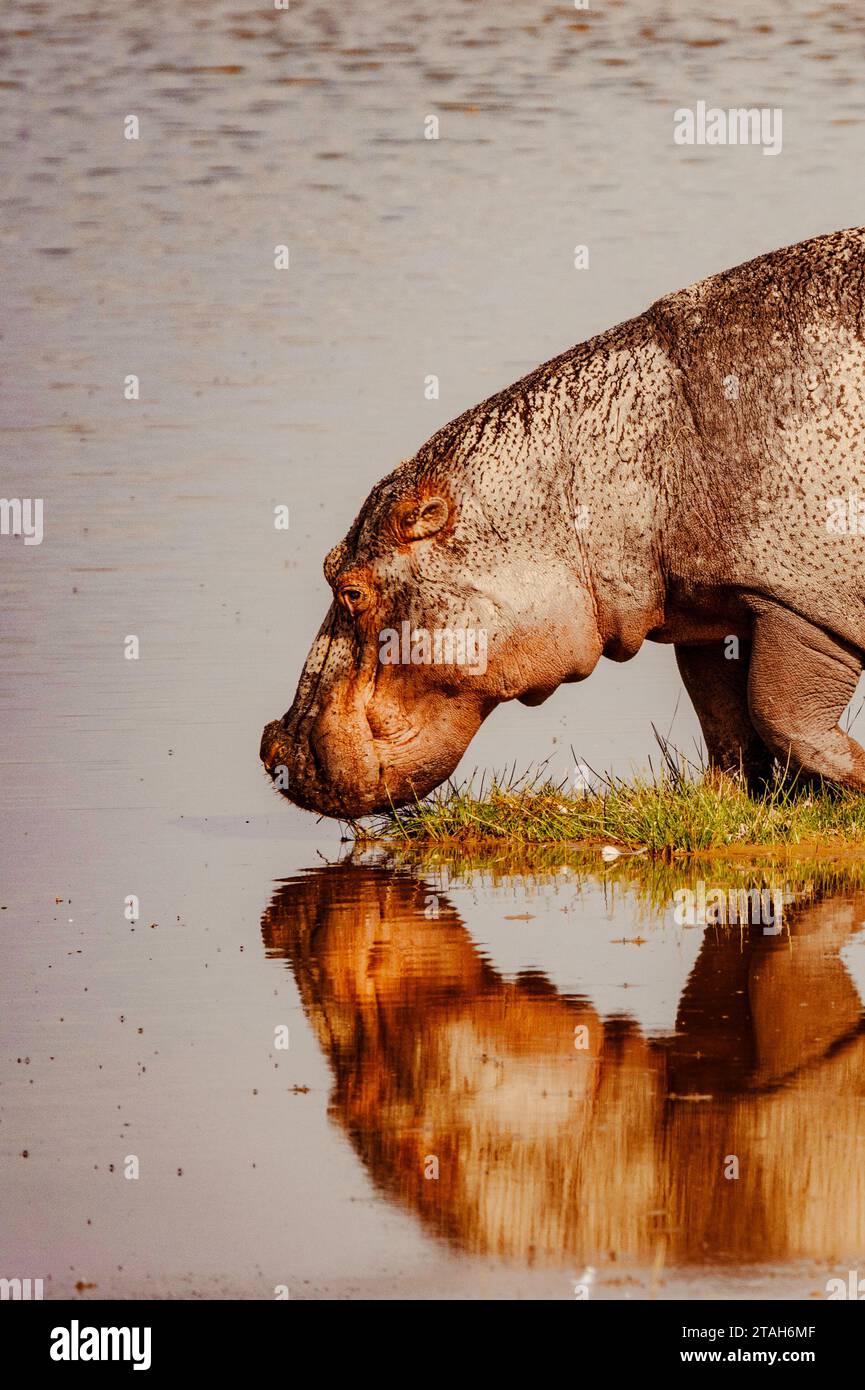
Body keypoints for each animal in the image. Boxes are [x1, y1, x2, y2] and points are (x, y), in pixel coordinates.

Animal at [261, 226, 865, 817]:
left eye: (352, 591)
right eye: (326, 566)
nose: (272, 748)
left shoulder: (805, 604)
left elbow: (782, 715)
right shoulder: (712, 608)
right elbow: (723, 720)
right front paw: (724, 801)